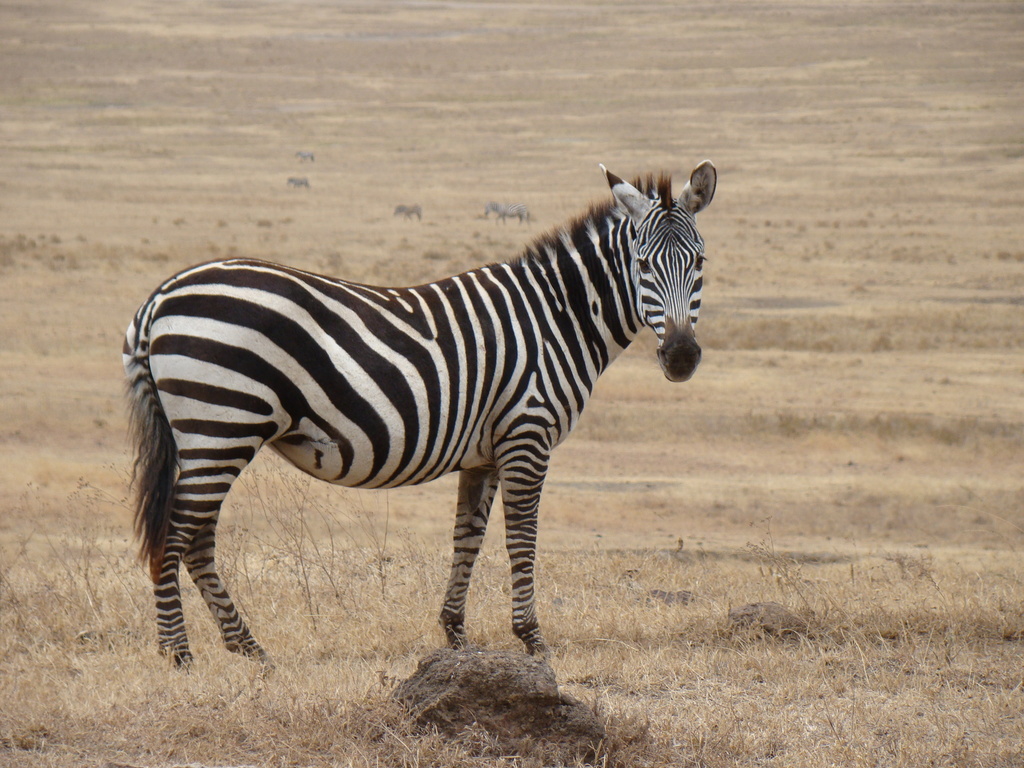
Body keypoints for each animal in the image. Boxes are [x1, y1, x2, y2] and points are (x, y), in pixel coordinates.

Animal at [123, 160, 716, 667]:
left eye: (700, 262)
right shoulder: (527, 435)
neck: (557, 317)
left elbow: (467, 538)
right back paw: (179, 655)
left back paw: (249, 649)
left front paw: (455, 636)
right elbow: (521, 540)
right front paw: (533, 642)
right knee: (176, 536)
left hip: (212, 434)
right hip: (221, 425)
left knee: (197, 540)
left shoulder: (485, 452)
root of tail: (160, 296)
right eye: (642, 264)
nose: (682, 357)